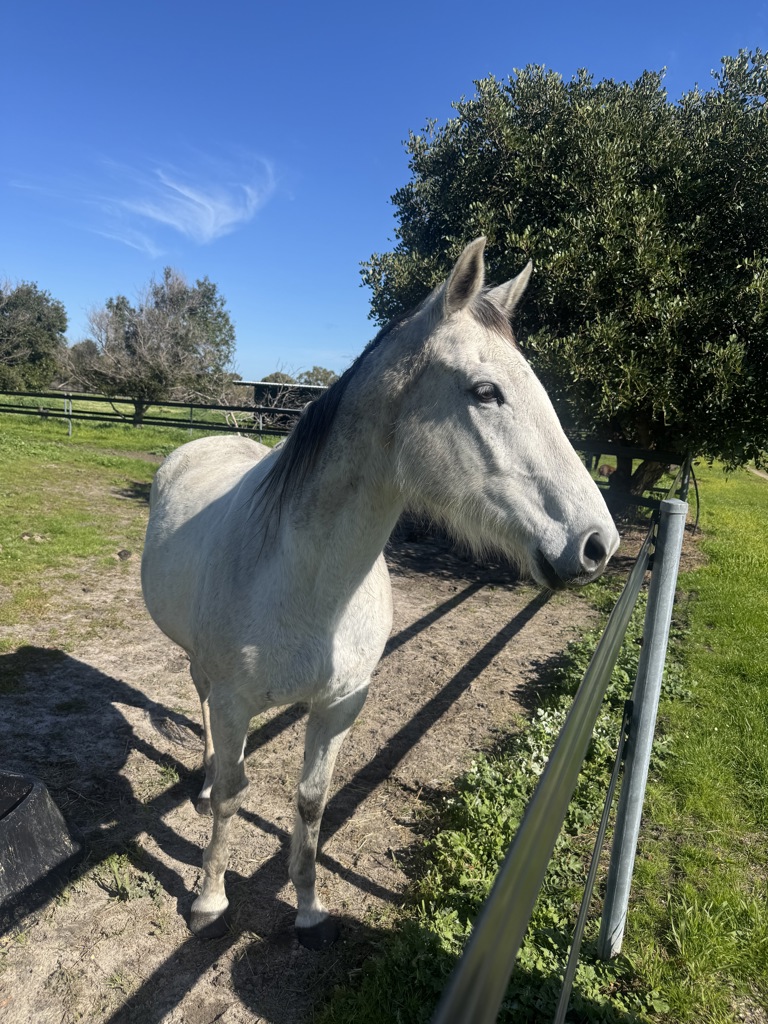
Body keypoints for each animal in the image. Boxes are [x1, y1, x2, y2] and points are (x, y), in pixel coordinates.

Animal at [141, 237, 620, 946]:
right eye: (486, 392)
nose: (596, 544)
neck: (309, 583)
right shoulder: (235, 703)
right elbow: (234, 793)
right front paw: (208, 899)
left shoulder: (339, 705)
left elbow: (311, 803)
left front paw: (309, 906)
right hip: (205, 672)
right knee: (201, 709)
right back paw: (200, 789)